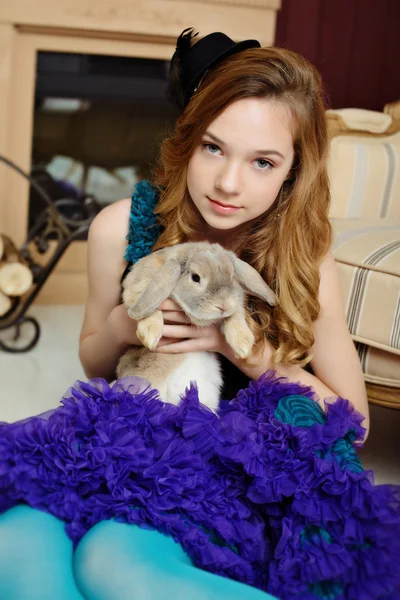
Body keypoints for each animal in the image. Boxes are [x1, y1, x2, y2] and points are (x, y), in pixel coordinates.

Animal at [117, 241, 276, 410]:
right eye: (195, 277)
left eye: (232, 275)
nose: (224, 305)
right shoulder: (138, 284)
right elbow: (149, 304)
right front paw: (150, 334)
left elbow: (236, 315)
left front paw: (243, 344)